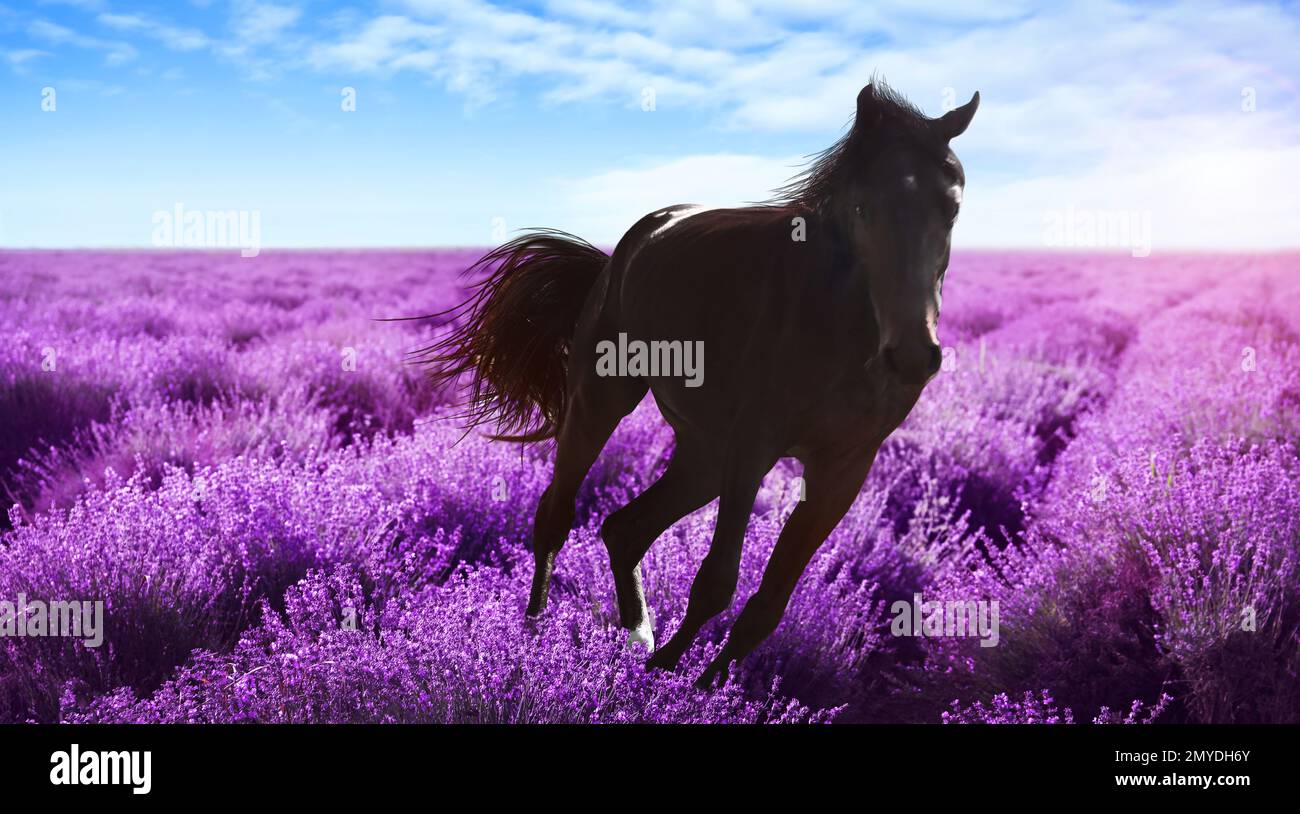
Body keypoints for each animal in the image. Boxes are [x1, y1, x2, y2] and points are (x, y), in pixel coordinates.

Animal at [422, 81, 979, 688]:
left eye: (952, 207)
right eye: (862, 208)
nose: (912, 355)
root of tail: (624, 250)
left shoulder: (843, 469)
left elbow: (768, 606)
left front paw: (702, 684)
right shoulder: (753, 448)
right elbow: (717, 581)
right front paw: (667, 677)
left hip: (704, 453)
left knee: (625, 528)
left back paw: (637, 632)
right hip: (604, 400)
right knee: (557, 511)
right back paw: (532, 634)